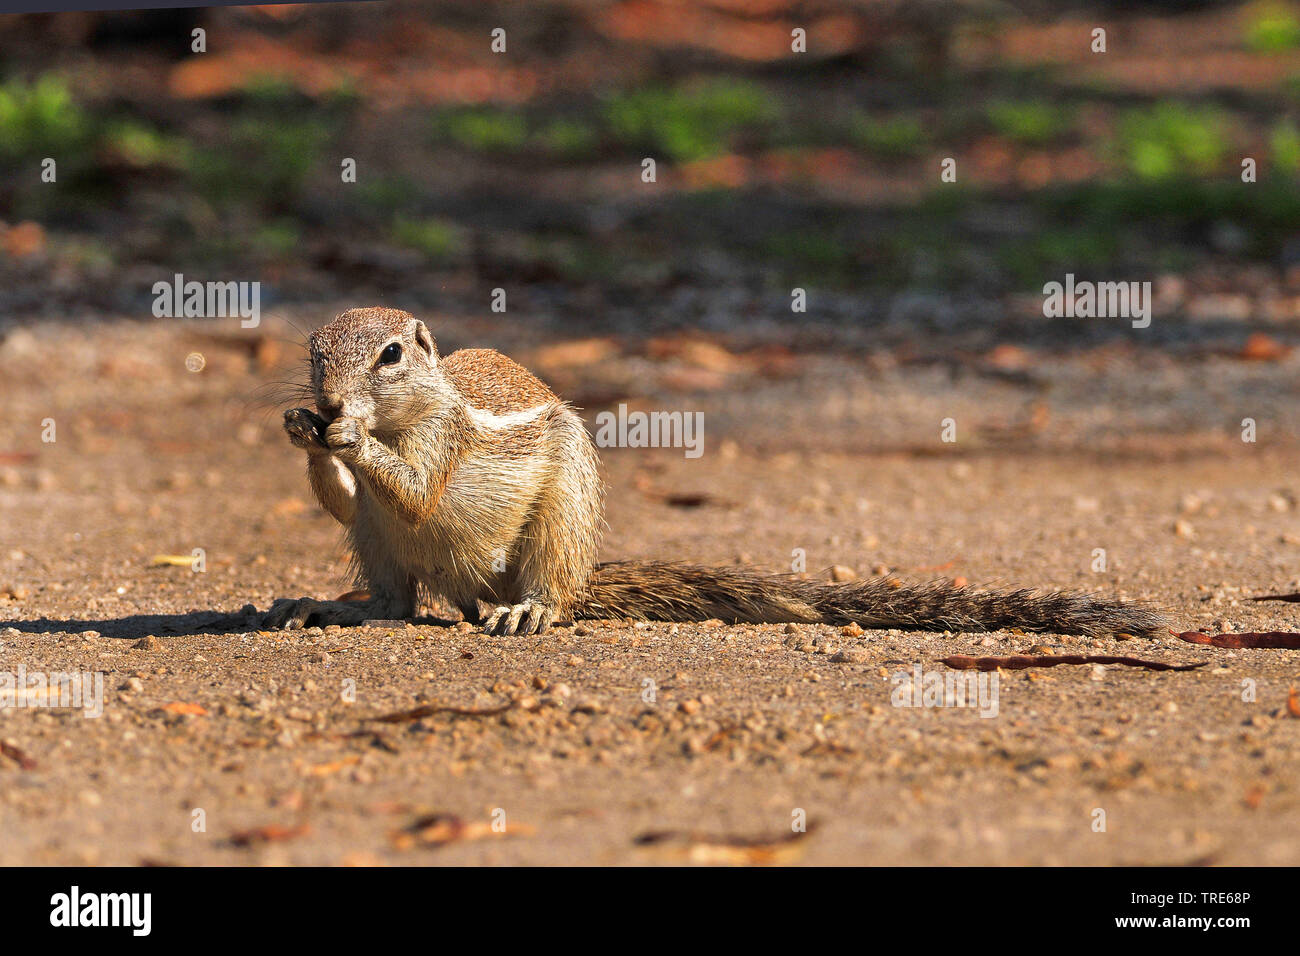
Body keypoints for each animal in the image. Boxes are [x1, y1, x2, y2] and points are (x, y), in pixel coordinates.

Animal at [264, 307, 1166, 639]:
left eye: (388, 355)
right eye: (313, 352)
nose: (328, 401)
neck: (405, 411)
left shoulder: (442, 441)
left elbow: (417, 493)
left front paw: (348, 440)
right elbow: (347, 504)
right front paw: (304, 432)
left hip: (560, 520)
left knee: (541, 589)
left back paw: (527, 610)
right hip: (382, 552)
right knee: (391, 594)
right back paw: (330, 604)